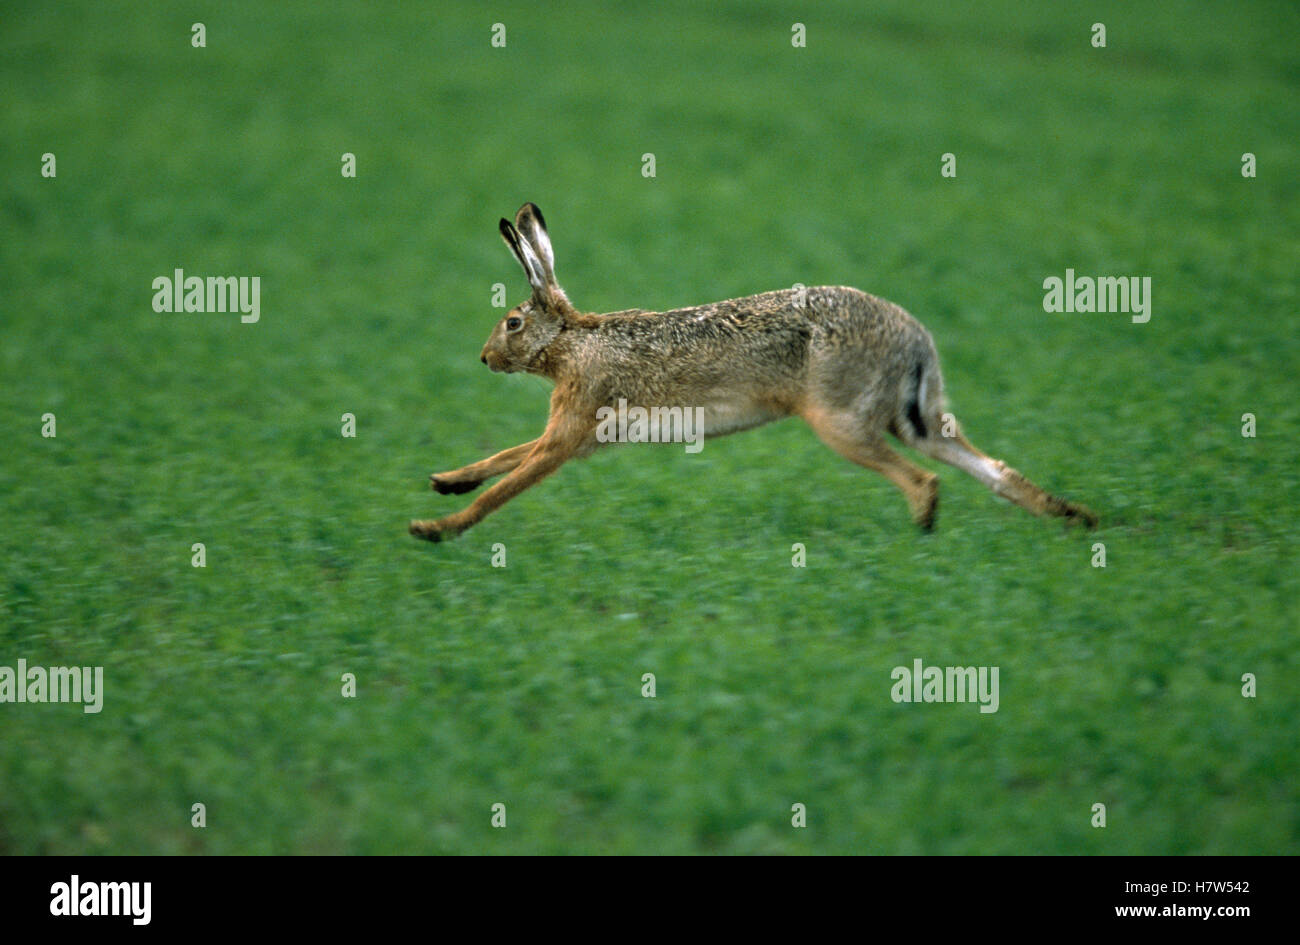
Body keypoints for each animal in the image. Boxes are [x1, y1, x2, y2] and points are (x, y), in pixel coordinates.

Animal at [410, 203, 1097, 542]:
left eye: (512, 323)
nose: (484, 358)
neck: (572, 341)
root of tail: (915, 341)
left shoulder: (572, 428)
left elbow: (509, 483)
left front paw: (434, 528)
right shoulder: (575, 431)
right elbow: (503, 457)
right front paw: (445, 483)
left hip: (841, 420)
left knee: (922, 479)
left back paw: (924, 533)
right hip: (915, 418)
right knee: (986, 467)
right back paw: (1076, 519)